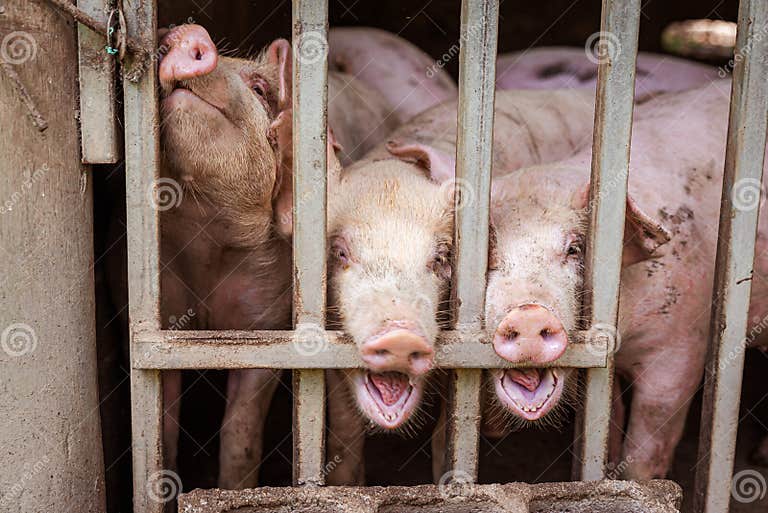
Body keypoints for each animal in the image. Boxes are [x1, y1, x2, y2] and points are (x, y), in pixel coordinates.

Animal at [107, 23, 458, 489]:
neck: (206, 240)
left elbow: (240, 432)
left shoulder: (270, 323)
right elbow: (162, 426)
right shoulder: (149, 322)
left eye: (259, 89)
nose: (185, 33)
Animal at [483, 80, 768, 480]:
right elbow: (609, 420)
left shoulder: (682, 347)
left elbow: (649, 441)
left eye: (575, 248)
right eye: (486, 252)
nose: (527, 313)